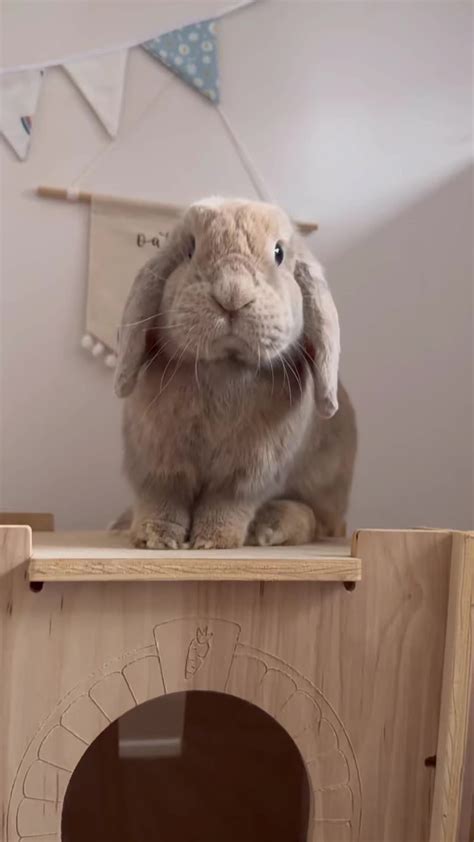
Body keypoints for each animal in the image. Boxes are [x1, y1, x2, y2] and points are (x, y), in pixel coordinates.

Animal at [114, 197, 357, 550]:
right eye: (190, 249)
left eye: (279, 253)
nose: (232, 296)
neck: (224, 367)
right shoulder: (158, 462)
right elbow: (162, 499)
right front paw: (156, 539)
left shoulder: (248, 472)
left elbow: (226, 504)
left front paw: (212, 541)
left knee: (315, 521)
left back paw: (269, 528)